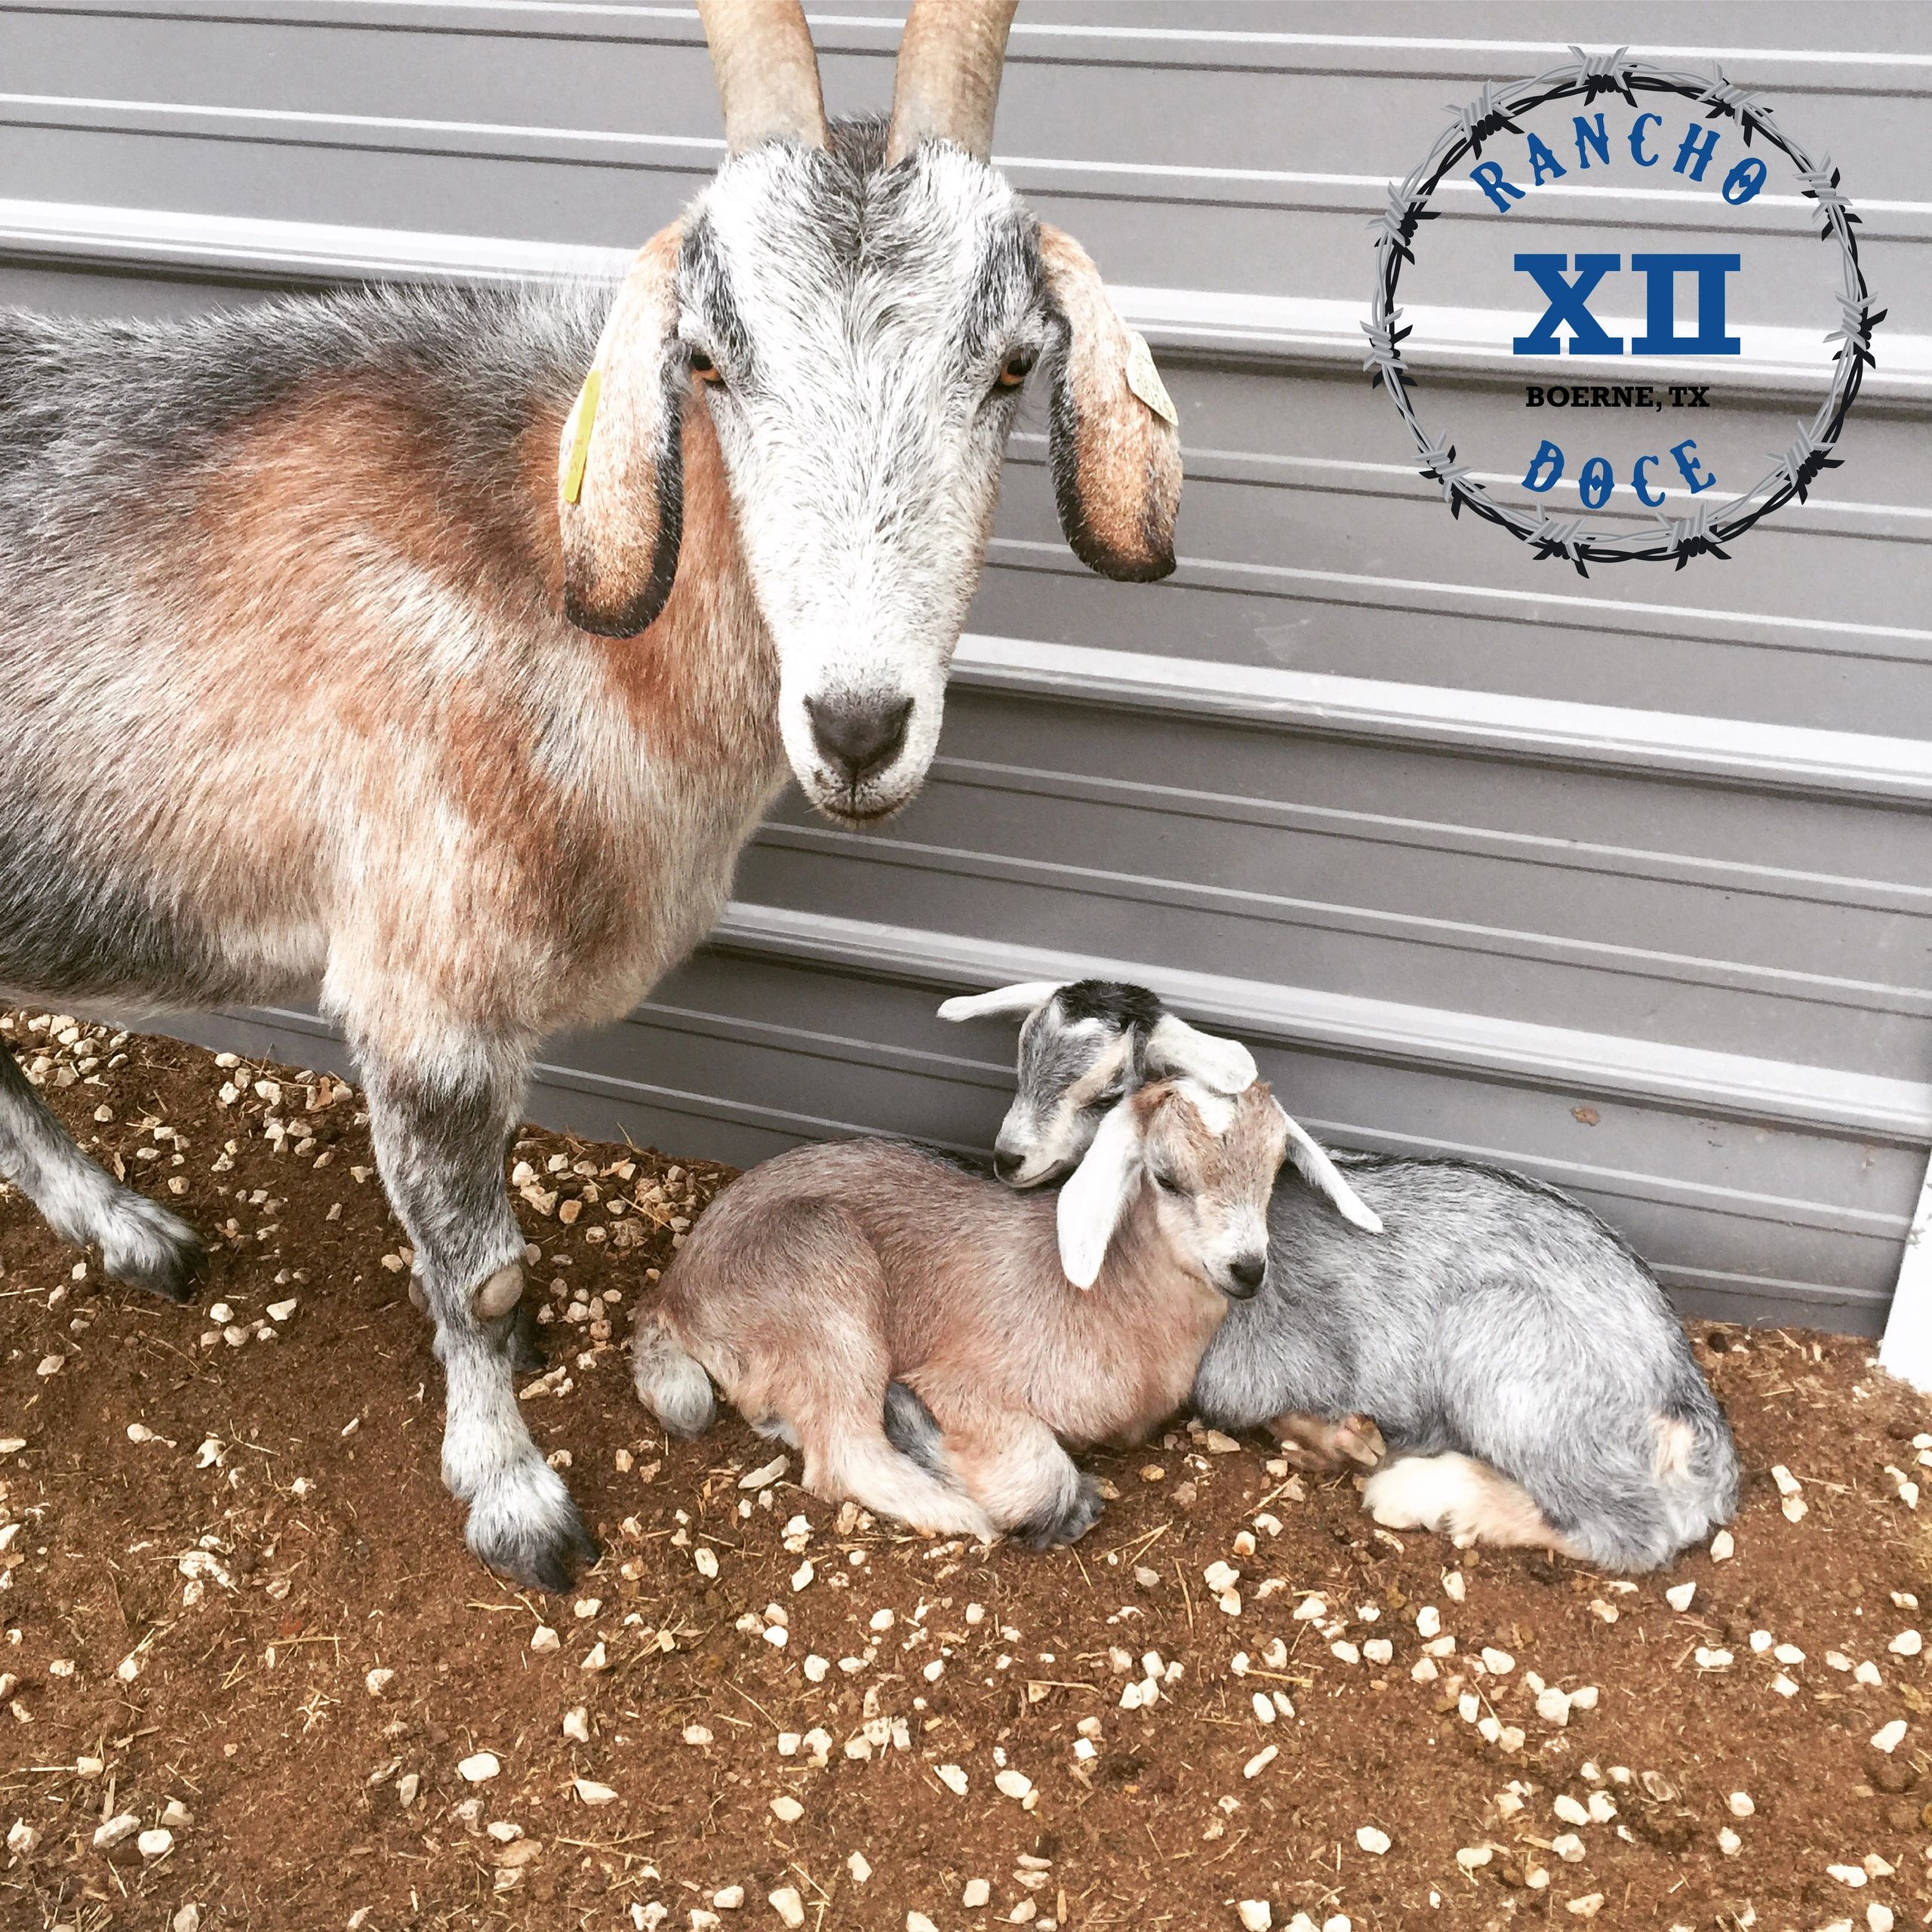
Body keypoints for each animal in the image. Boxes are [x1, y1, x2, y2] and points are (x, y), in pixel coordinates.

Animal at [0, 0, 1183, 1591]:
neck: (540, 584)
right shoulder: (422, 989)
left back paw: (123, 1228)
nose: (858, 724)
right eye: (712, 361)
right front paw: (514, 1498)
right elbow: (483, 1267)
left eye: (1007, 367)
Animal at [633, 1079, 1290, 1544]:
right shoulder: (967, 1384)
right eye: (1166, 1177)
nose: (1247, 1269)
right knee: (846, 1454)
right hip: (820, 1277)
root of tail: (673, 1292)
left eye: (1276, 1169)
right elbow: (1045, 1478)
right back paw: (956, 1505)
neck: (1108, 1298)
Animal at [941, 980, 1740, 1571]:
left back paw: (1419, 1492)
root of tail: (1695, 1426)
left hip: (1509, 1362)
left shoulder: (1242, 1371)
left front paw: (1342, 1441)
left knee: (1626, 1530)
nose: (1007, 1158)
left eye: (1104, 1095)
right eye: (1021, 1061)